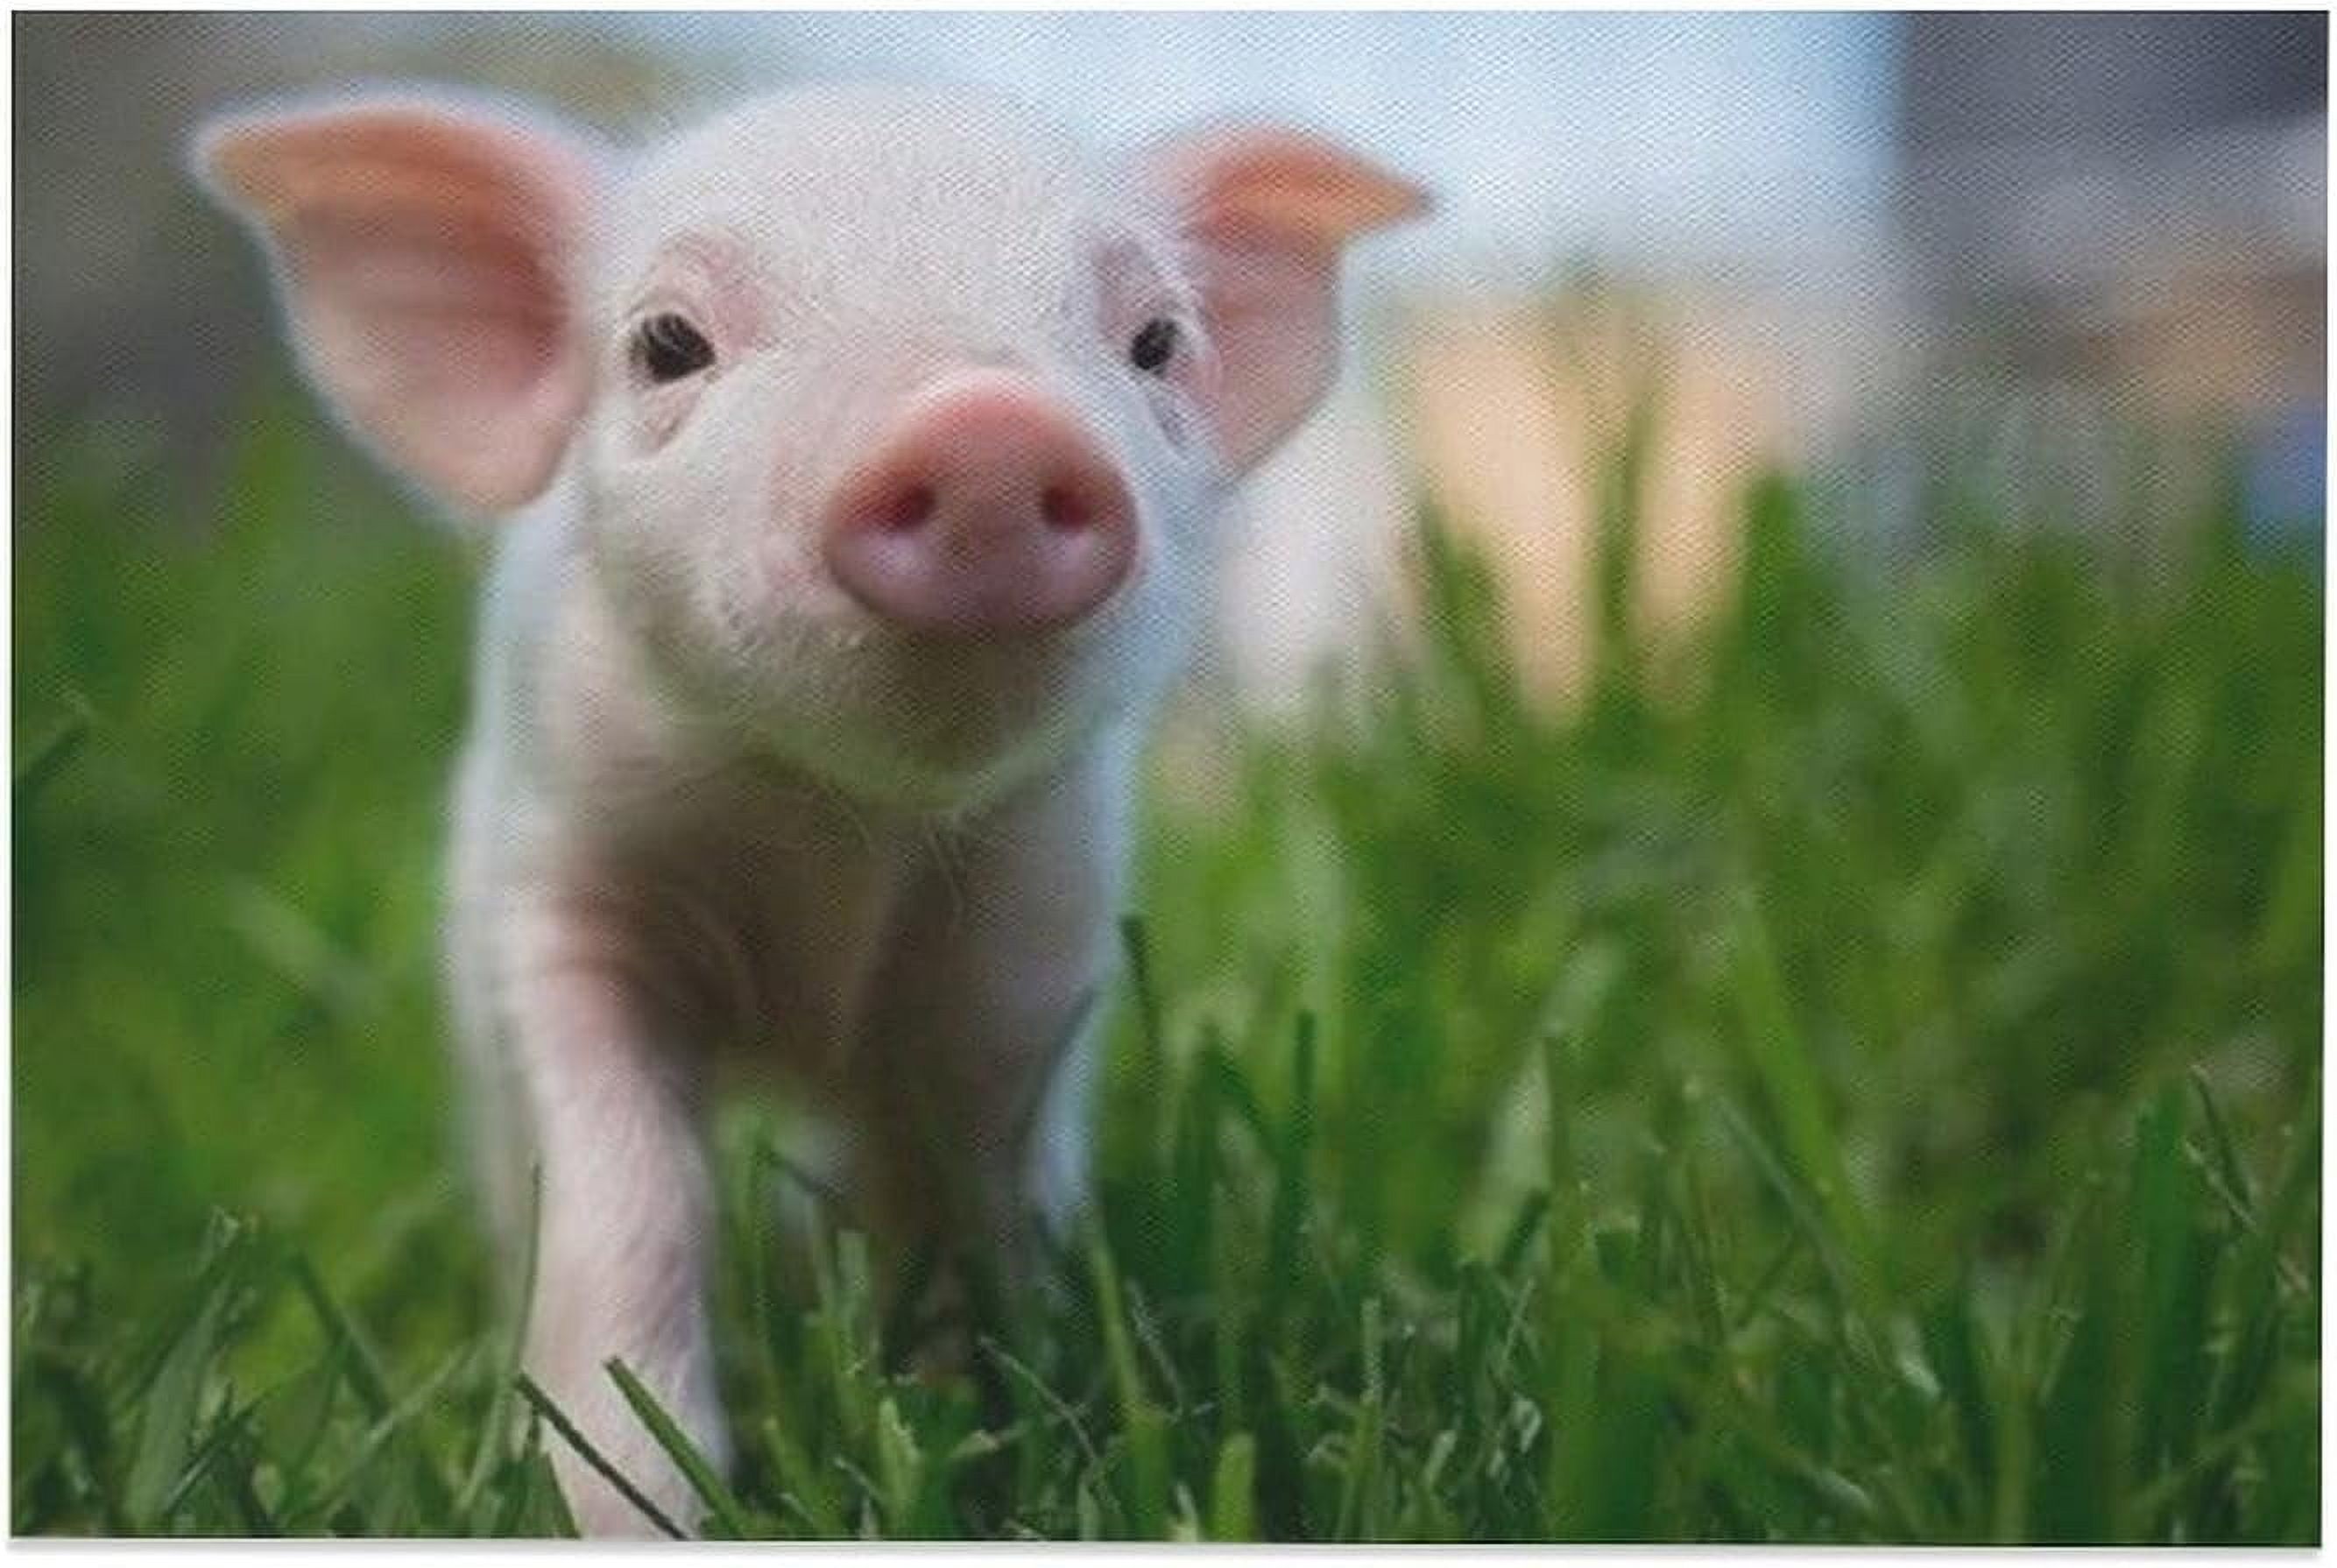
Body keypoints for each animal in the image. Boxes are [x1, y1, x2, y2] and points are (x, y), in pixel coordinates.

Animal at [191, 80, 1422, 1536]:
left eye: (1157, 340)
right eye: (668, 343)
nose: (988, 425)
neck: (835, 847)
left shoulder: (1030, 938)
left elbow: (976, 1195)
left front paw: (979, 1438)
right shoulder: (563, 904)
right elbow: (629, 1187)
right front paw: (628, 1509)